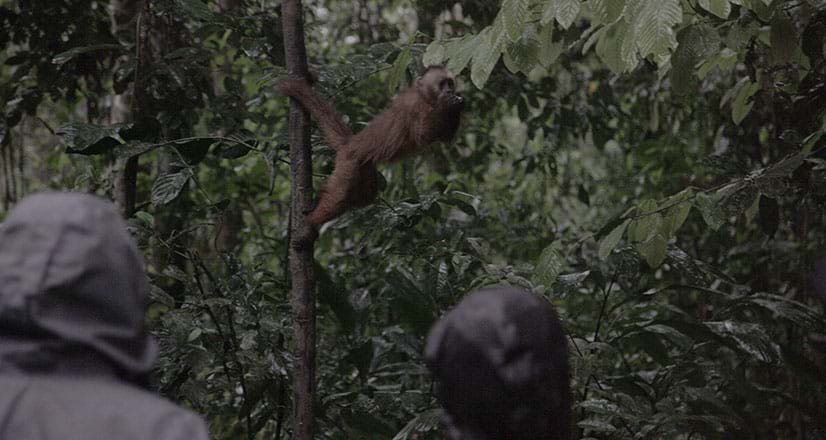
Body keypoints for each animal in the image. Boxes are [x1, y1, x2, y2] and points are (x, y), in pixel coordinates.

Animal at [277, 66, 464, 242]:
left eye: (450, 83)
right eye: (442, 84)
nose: (449, 91)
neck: (425, 97)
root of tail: (350, 143)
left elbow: (444, 137)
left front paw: (457, 103)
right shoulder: (414, 105)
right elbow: (423, 135)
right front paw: (449, 102)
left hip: (364, 168)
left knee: (365, 197)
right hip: (348, 163)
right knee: (340, 198)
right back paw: (311, 220)